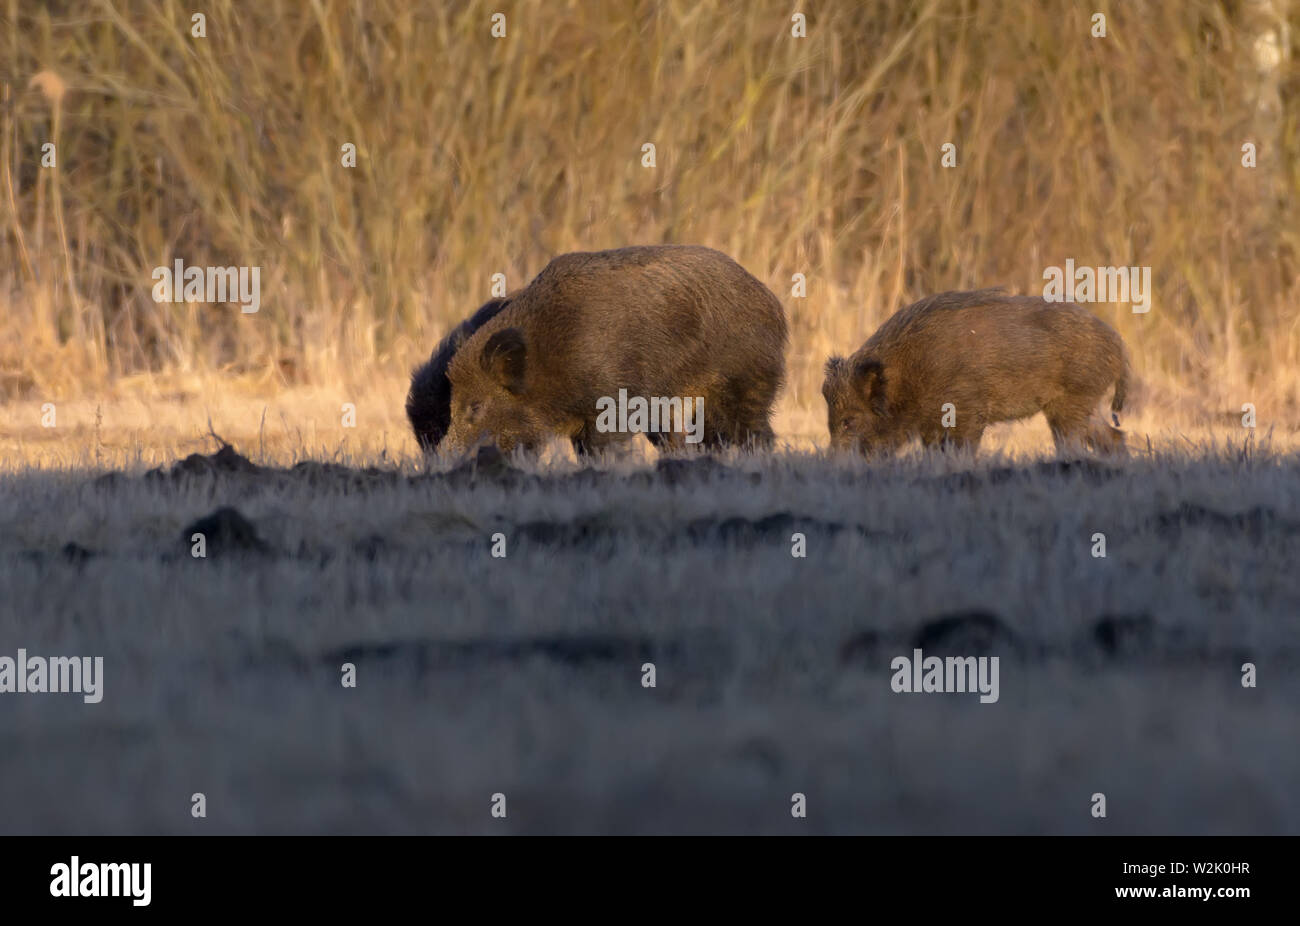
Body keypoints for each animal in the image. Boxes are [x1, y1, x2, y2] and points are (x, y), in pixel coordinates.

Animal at [442, 245, 788, 455]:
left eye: (475, 406)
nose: (446, 458)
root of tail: (773, 303)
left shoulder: (611, 402)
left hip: (747, 381)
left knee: (756, 432)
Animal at [823, 289, 1130, 456]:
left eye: (849, 421)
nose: (835, 467)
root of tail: (1118, 344)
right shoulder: (932, 425)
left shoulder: (967, 411)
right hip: (1083, 403)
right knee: (1114, 437)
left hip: (1072, 401)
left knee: (1073, 442)